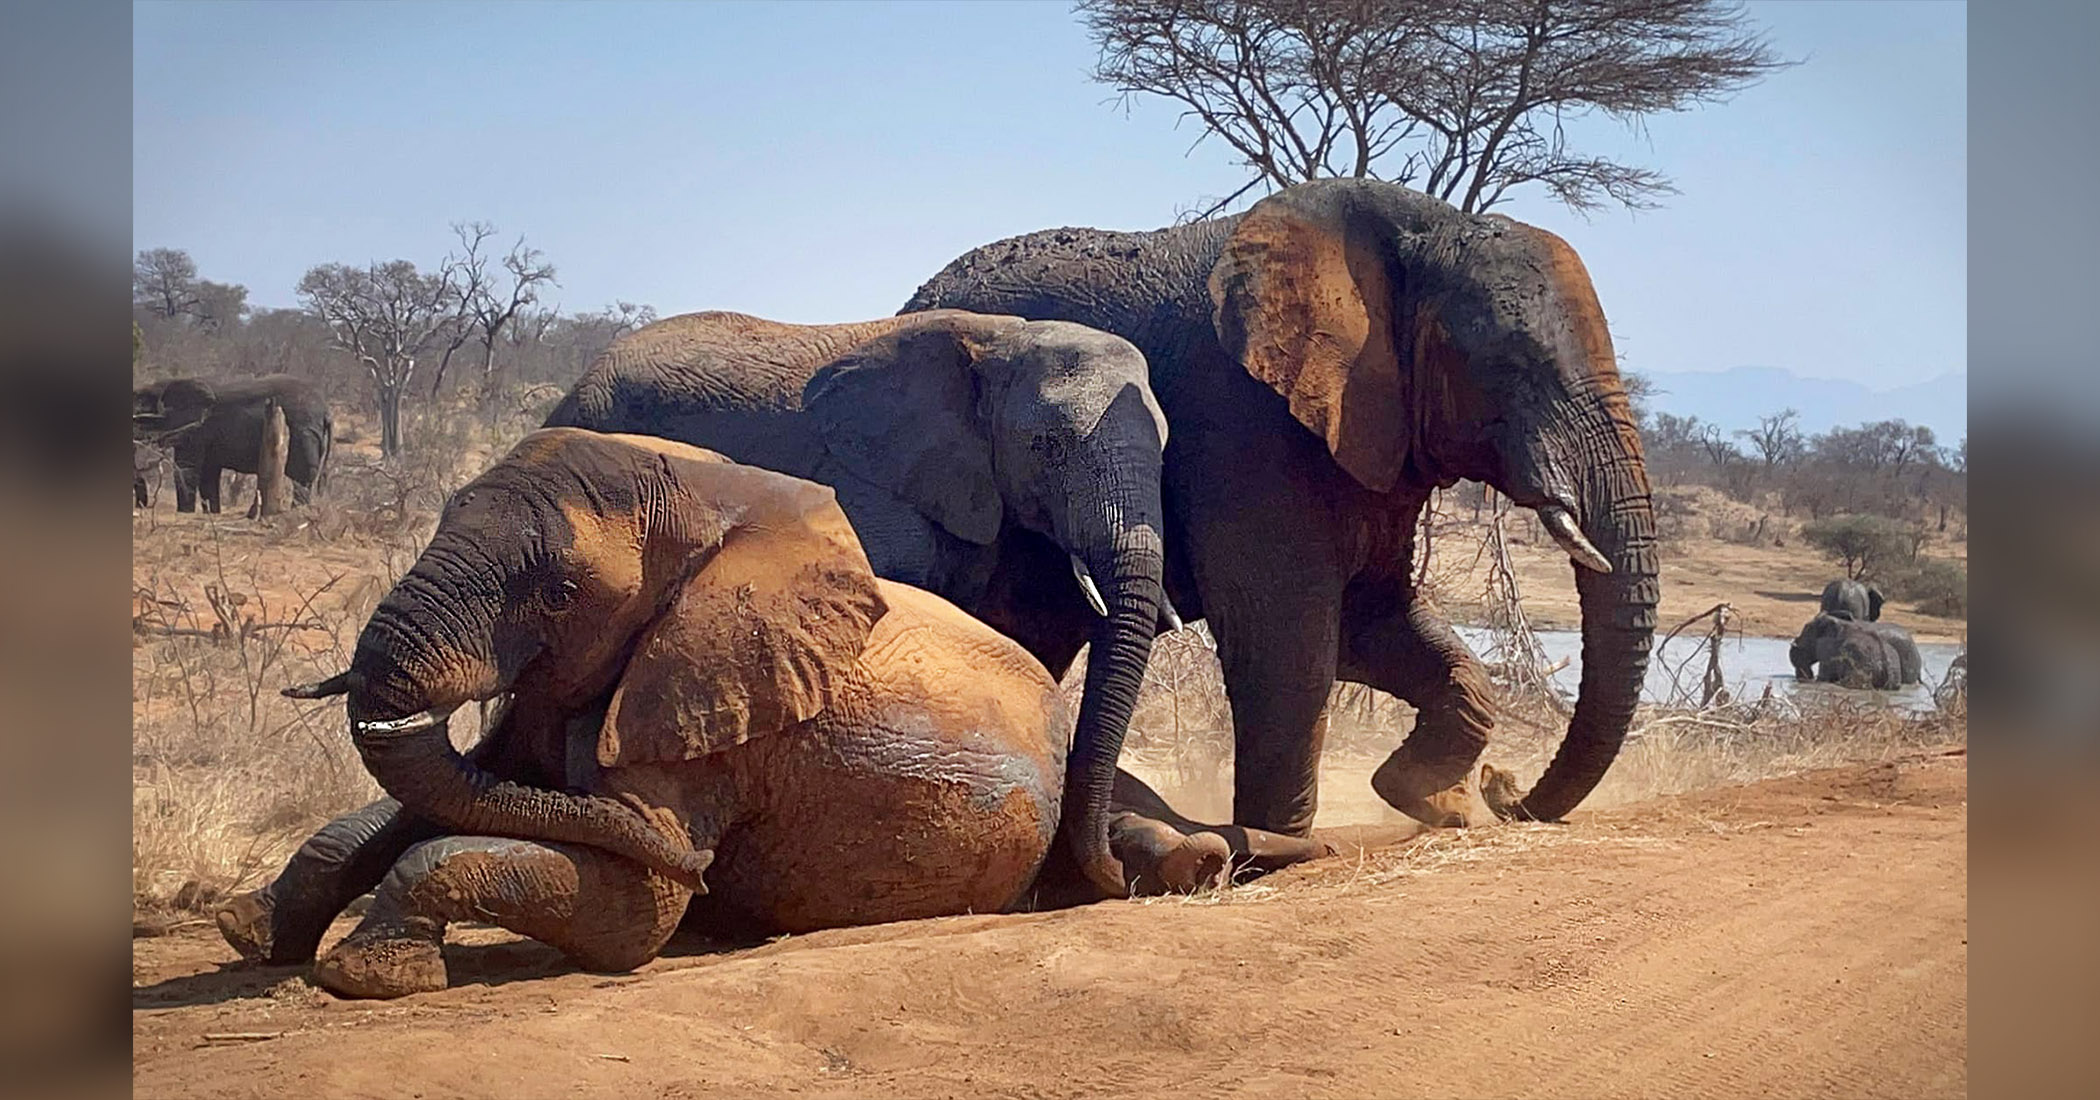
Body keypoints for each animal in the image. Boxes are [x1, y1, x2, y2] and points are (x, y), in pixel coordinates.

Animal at [132, 374, 332, 512]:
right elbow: (208, 477)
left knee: (302, 478)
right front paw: (212, 514)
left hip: (303, 435)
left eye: (139, 412)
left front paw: (184, 513)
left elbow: (187, 472)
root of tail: (326, 411)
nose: (141, 505)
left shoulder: (194, 430)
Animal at [217, 430, 1322, 993]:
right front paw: (247, 929)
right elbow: (442, 801)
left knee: (1143, 832)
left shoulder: (708, 714)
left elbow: (633, 906)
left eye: (558, 593)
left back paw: (1197, 863)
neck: (700, 493)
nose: (721, 883)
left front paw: (367, 971)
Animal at [903, 178, 1660, 835]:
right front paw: (1278, 844)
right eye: (1513, 367)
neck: (1428, 230)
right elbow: (1288, 644)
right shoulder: (1245, 422)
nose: (1506, 788)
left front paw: (1424, 799)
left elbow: (1374, 624)